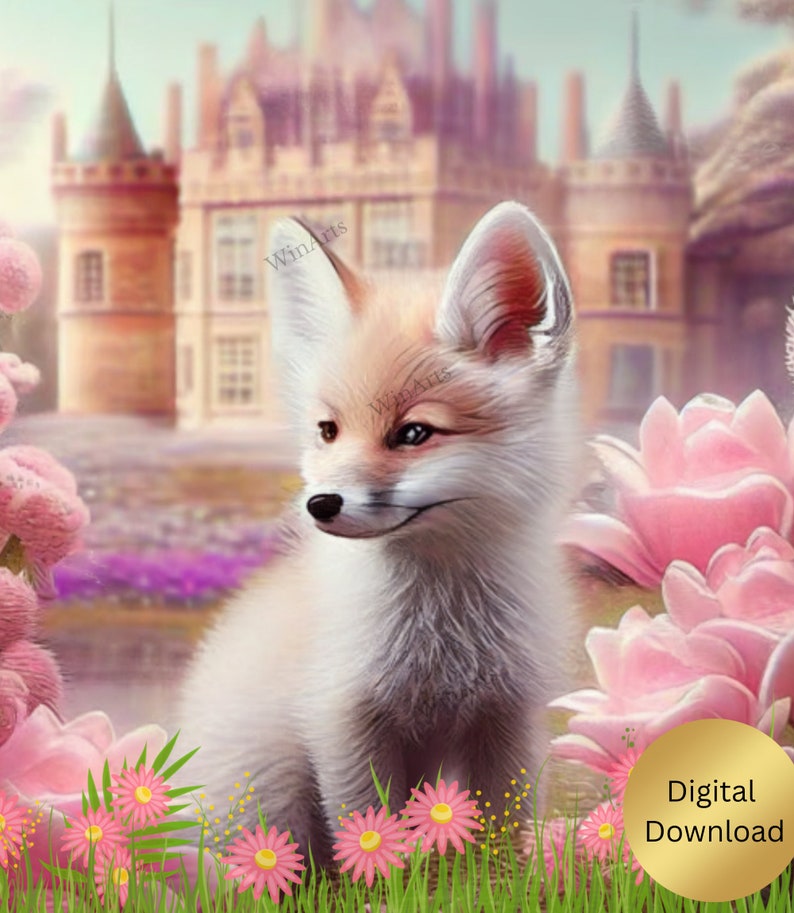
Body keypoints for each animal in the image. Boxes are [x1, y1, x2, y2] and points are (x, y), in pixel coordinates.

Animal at [177, 201, 579, 866]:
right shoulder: (342, 717)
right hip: (267, 793)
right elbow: (368, 833)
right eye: (328, 430)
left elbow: (499, 841)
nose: (320, 504)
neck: (443, 636)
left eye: (414, 434)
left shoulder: (509, 712)